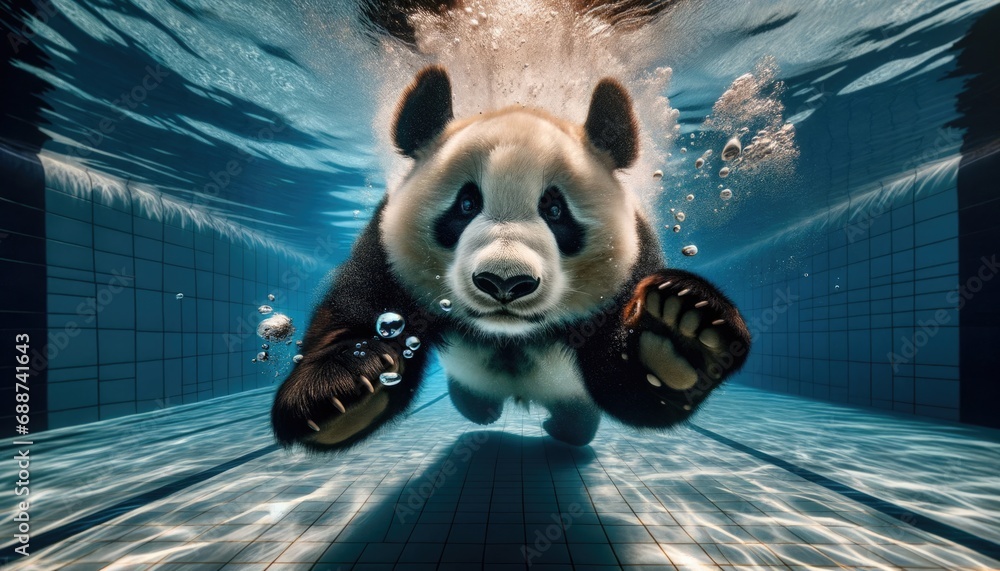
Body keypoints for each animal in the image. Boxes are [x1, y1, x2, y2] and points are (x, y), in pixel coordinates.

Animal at [271, 66, 751, 450]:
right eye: (466, 204)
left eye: (555, 211)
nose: (504, 282)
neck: (508, 335)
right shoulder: (386, 254)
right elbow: (358, 312)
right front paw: (341, 391)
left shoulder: (632, 264)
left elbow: (627, 388)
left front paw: (679, 335)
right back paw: (479, 408)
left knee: (580, 414)